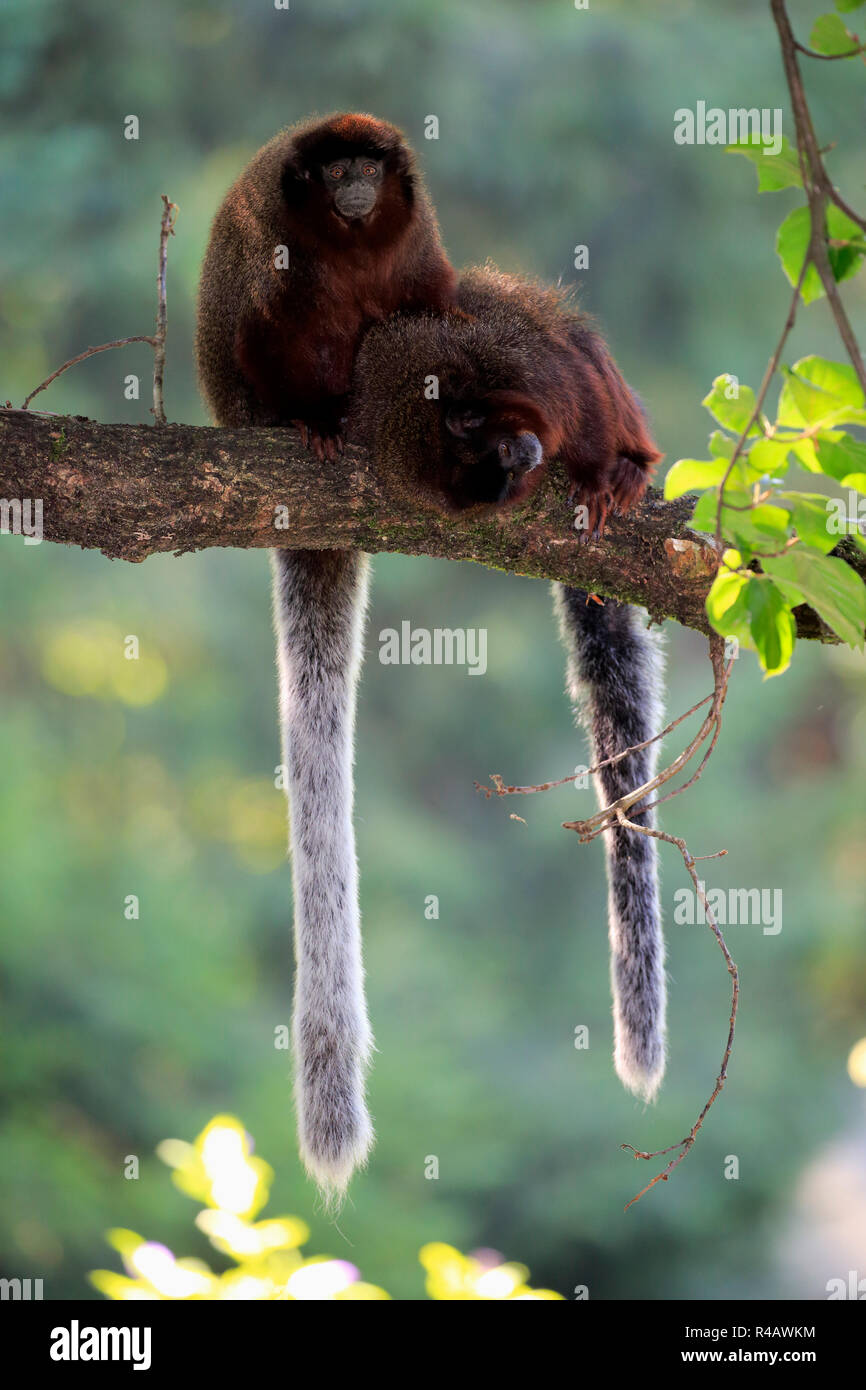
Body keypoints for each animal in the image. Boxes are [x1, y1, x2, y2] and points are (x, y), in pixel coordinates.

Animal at [350, 264, 667, 1103]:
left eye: (489, 453)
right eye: (486, 478)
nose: (521, 464)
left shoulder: (529, 359)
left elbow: (581, 374)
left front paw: (606, 473)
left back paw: (630, 467)